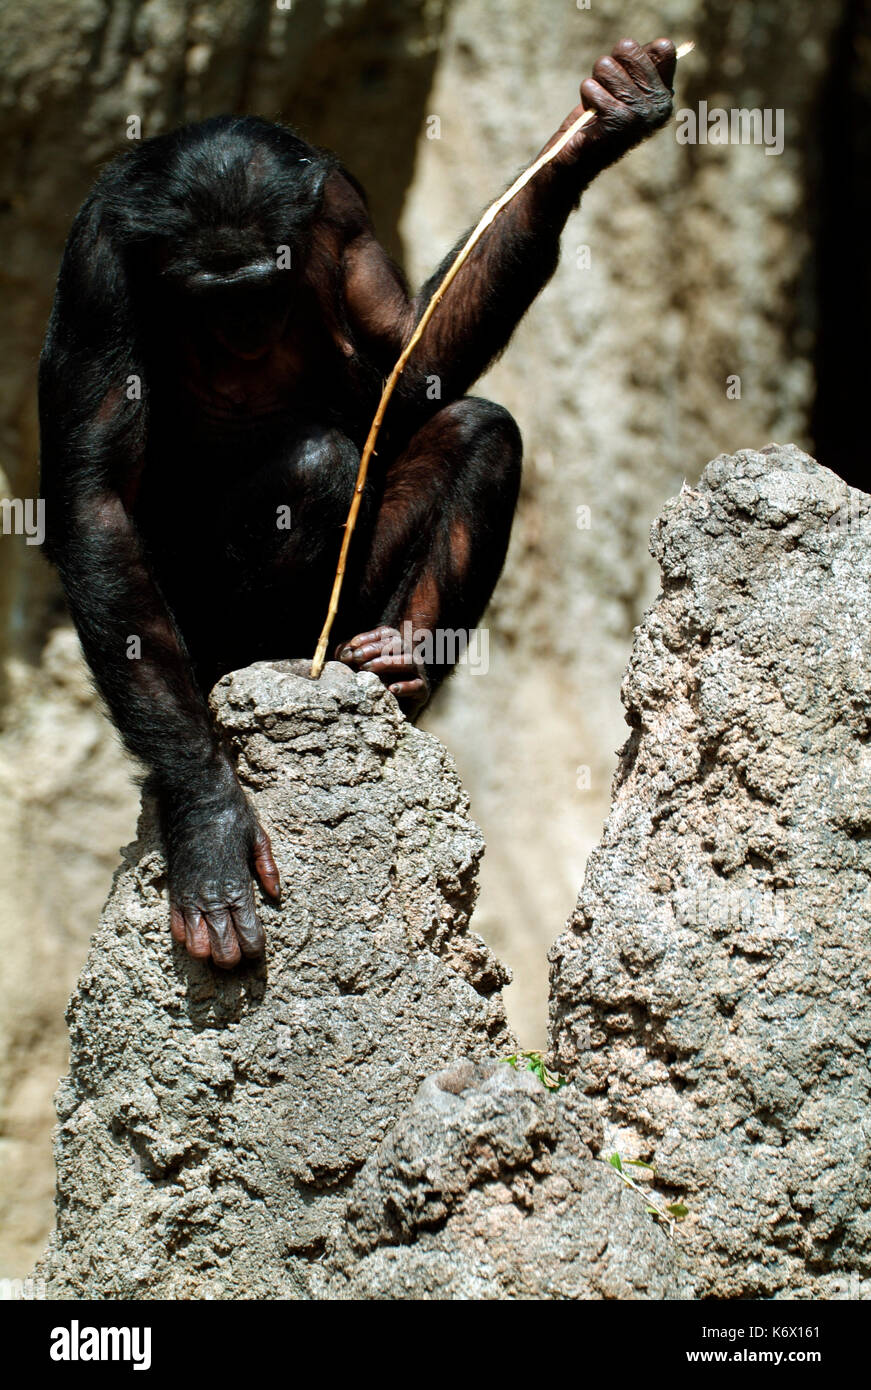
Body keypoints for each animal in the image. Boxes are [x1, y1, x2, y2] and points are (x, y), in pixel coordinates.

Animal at [38, 38, 677, 967]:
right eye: (210, 292)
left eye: (261, 282)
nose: (242, 324)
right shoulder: (94, 264)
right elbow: (96, 502)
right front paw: (209, 819)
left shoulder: (340, 208)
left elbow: (410, 358)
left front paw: (601, 123)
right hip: (205, 639)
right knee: (315, 464)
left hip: (357, 608)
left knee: (478, 430)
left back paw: (401, 663)